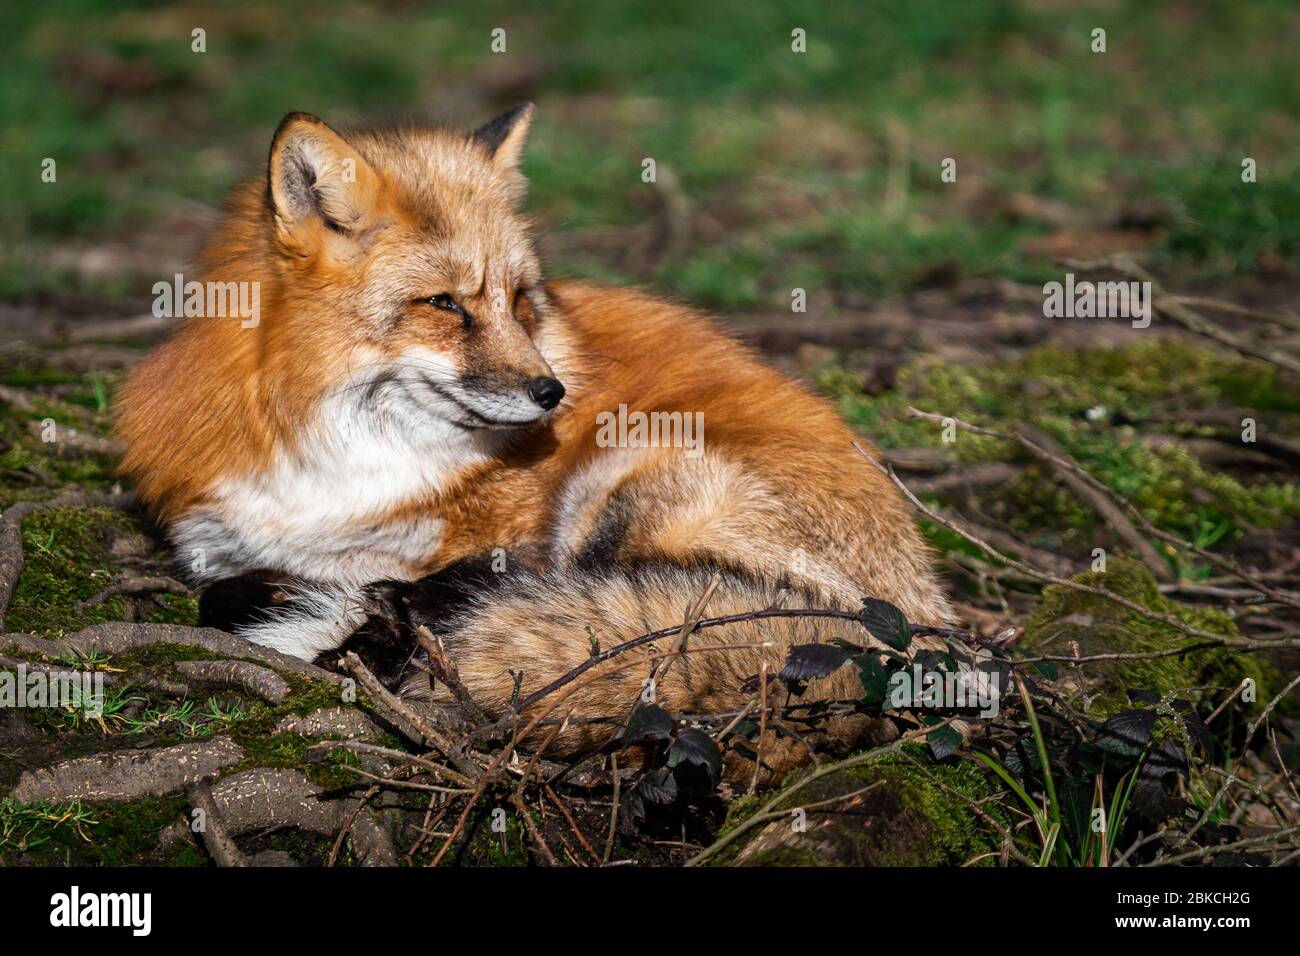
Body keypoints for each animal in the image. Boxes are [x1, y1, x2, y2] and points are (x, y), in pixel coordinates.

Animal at [116, 104, 954, 764]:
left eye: (519, 300)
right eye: (444, 304)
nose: (555, 393)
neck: (336, 462)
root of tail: (917, 630)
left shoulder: (506, 544)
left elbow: (418, 589)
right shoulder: (217, 540)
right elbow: (224, 588)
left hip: (622, 488)